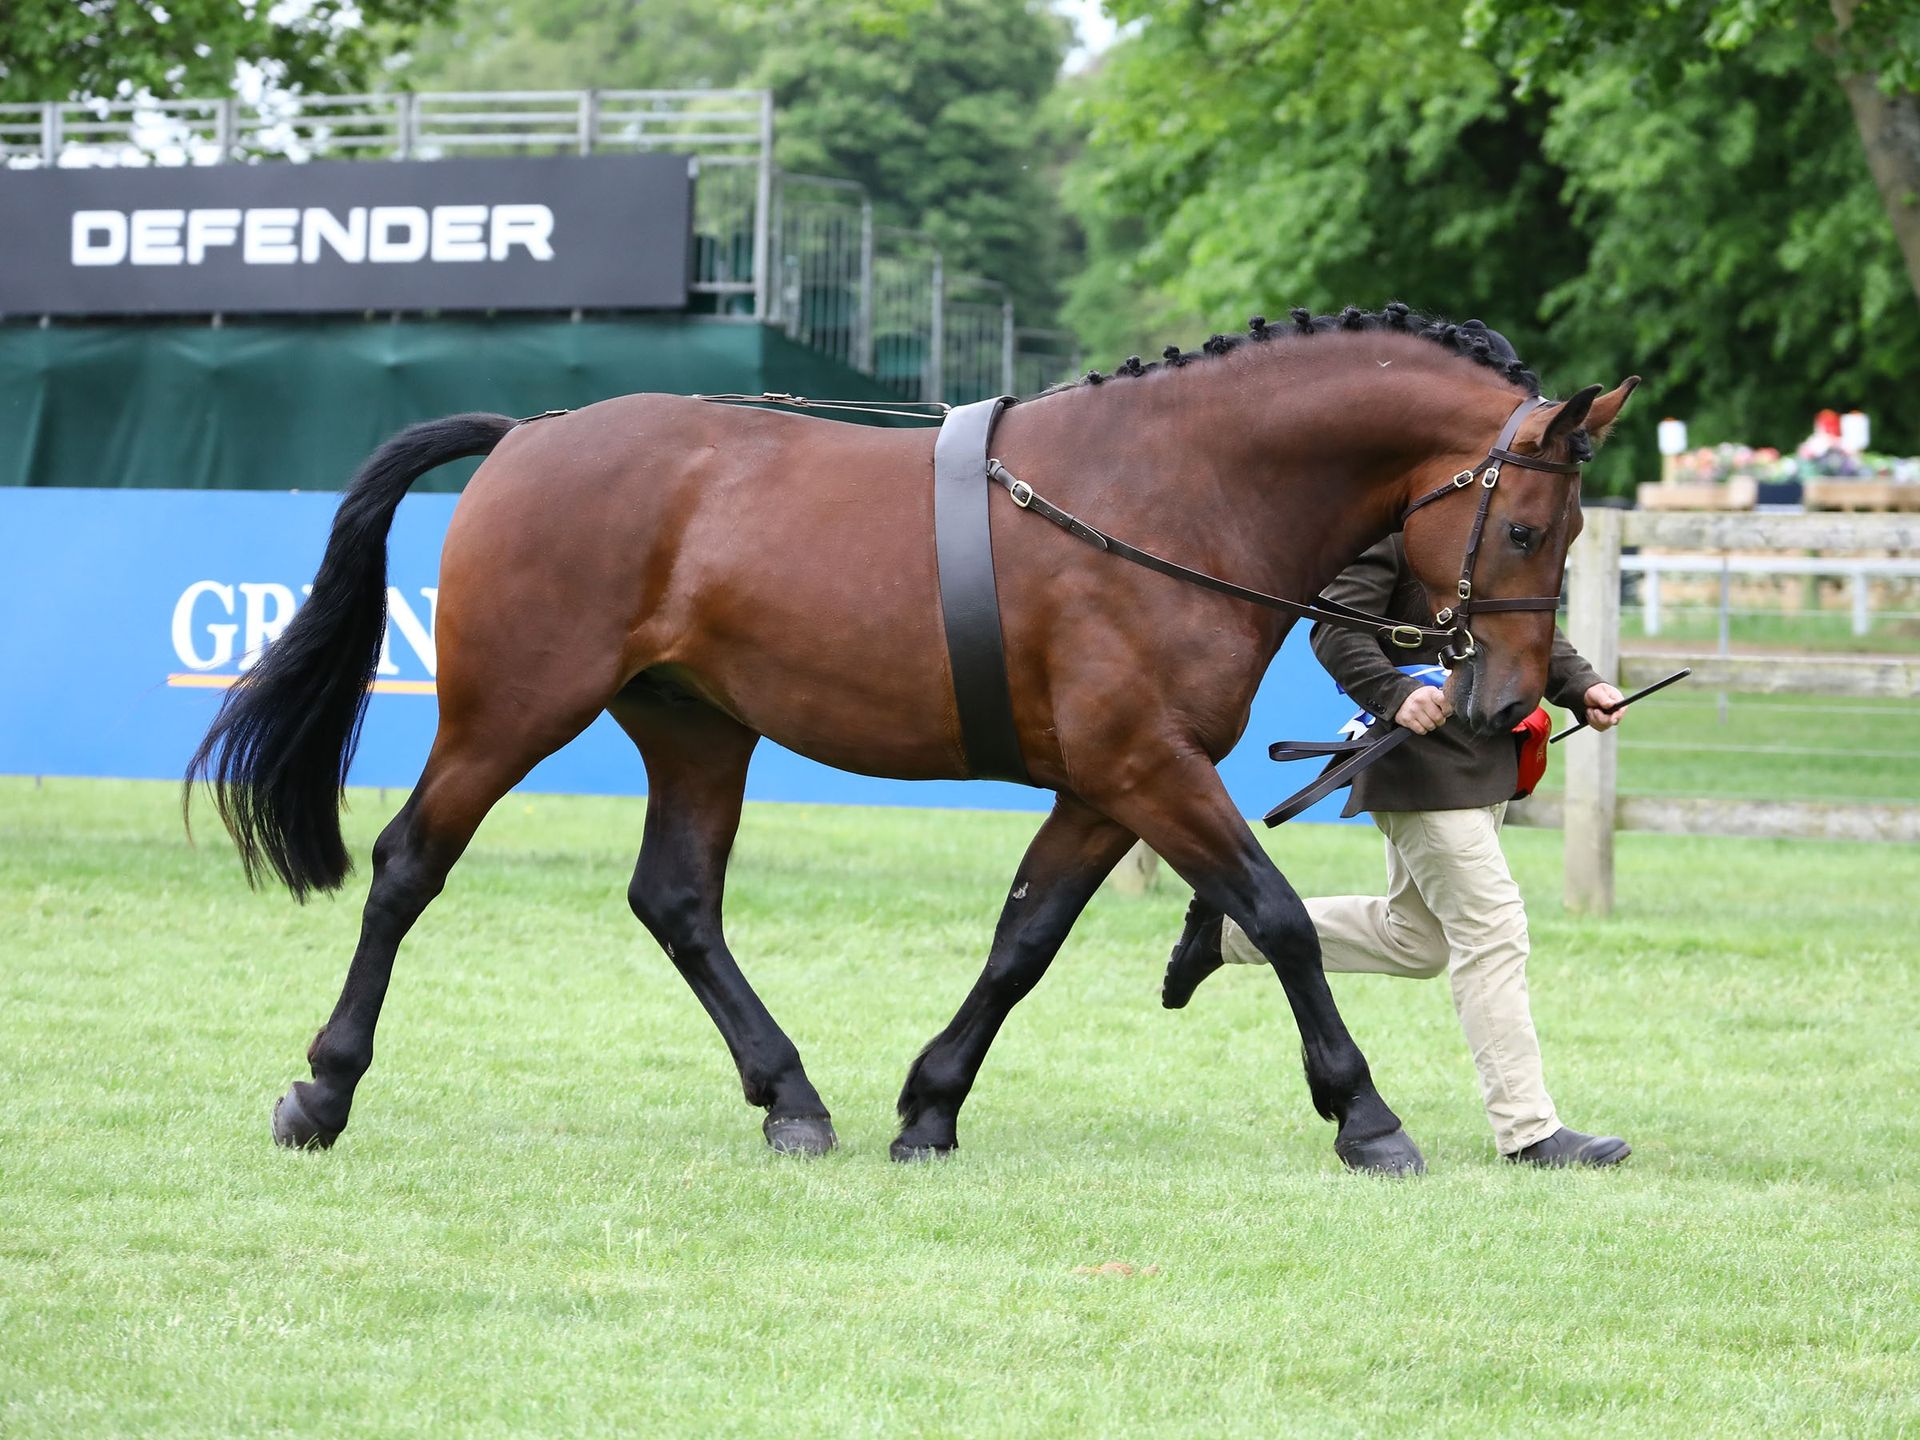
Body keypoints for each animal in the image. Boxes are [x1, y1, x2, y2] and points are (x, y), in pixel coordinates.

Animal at [186, 304, 1636, 1174]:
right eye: (1522, 527)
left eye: (1569, 533)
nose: (1508, 699)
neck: (1172, 495)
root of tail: (526, 439)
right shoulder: (1149, 770)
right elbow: (1275, 918)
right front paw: (1366, 1115)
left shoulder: (1105, 789)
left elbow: (1023, 943)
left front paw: (930, 1104)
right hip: (510, 713)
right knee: (408, 868)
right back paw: (322, 1093)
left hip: (699, 732)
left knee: (677, 901)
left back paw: (791, 1098)